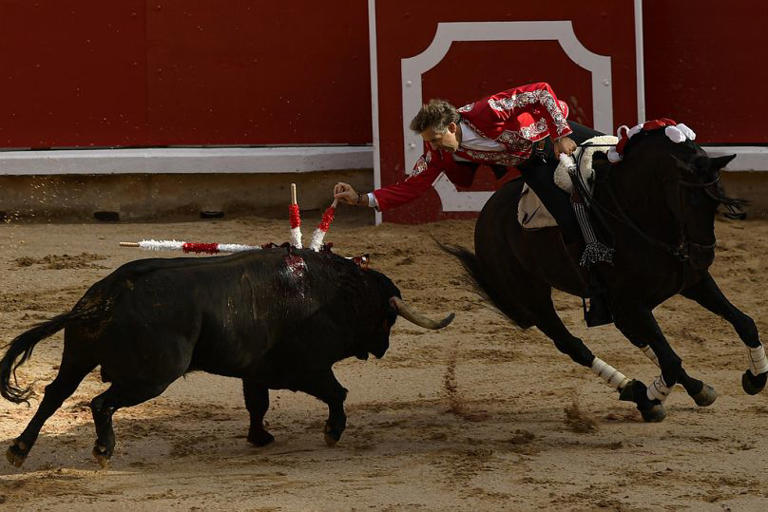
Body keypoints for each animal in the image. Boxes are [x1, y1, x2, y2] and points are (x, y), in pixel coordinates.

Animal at [0, 247, 454, 467]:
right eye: (387, 318)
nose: (383, 348)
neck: (336, 291)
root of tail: (109, 294)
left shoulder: (255, 371)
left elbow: (257, 404)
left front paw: (260, 437)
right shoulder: (307, 369)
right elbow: (337, 394)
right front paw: (332, 432)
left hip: (78, 357)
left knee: (54, 396)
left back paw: (20, 450)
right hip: (152, 376)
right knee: (100, 403)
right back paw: (102, 450)